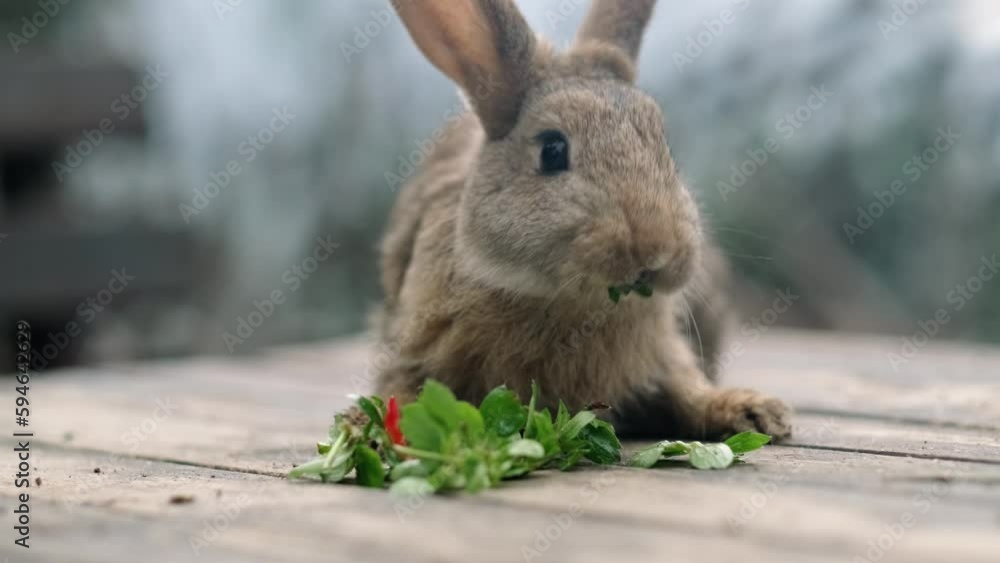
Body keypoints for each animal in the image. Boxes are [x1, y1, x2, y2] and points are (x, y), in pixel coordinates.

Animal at [375, 0, 791, 440]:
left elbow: (687, 388)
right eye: (552, 150)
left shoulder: (664, 351)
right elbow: (404, 389)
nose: (658, 251)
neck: (567, 303)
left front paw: (755, 412)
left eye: (664, 146)